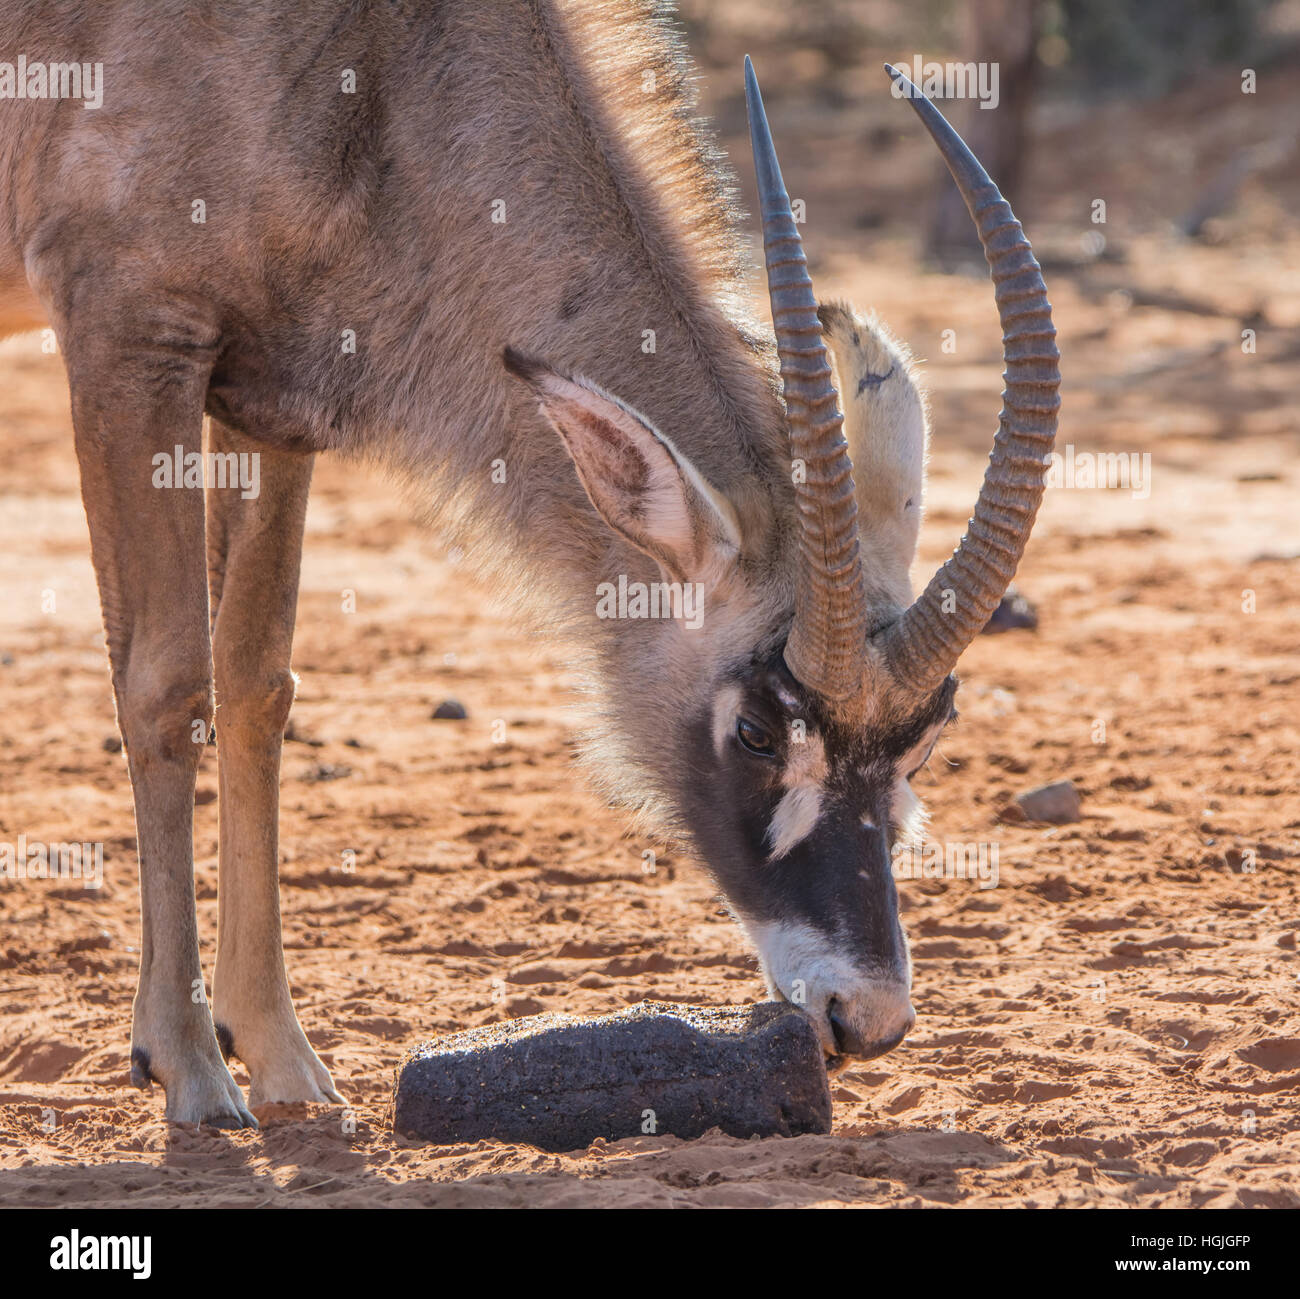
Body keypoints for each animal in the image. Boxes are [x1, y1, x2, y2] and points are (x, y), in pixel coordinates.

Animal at [0, 0, 1058, 1128]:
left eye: (926, 741)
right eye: (761, 731)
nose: (867, 1016)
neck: (377, 69)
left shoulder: (270, 398)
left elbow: (255, 685)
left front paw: (281, 1062)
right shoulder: (128, 336)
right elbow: (165, 687)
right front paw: (191, 1068)